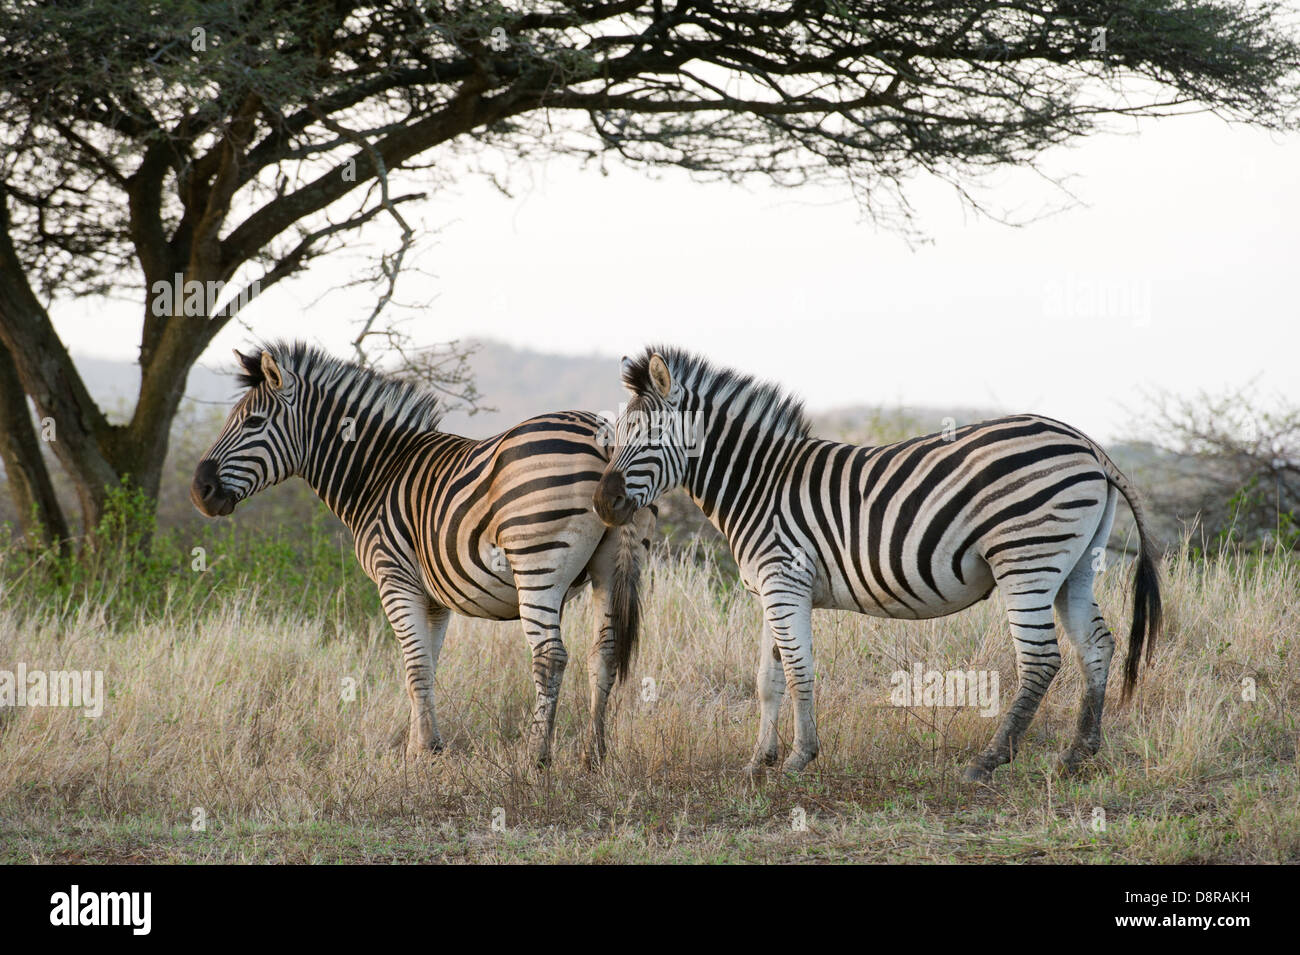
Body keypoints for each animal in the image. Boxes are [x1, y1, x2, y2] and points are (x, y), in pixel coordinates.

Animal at [191, 342, 655, 766]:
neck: (377, 473)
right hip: (610, 568)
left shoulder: (394, 579)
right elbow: (428, 665)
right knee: (604, 654)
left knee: (550, 656)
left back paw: (537, 756)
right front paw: (423, 744)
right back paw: (594, 756)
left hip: (537, 563)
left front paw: (424, 752)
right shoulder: (436, 596)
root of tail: (606, 439)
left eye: (253, 422)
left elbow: (413, 666)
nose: (200, 492)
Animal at [593, 347, 1161, 783]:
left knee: (1041, 659)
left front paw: (799, 759)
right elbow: (767, 678)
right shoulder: (771, 592)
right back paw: (1078, 753)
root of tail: (1087, 443)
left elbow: (798, 671)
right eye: (614, 436)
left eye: (646, 440)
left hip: (1027, 560)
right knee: (1097, 646)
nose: (602, 505)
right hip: (1074, 567)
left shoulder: (785, 582)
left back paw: (988, 761)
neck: (758, 484)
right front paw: (759, 762)